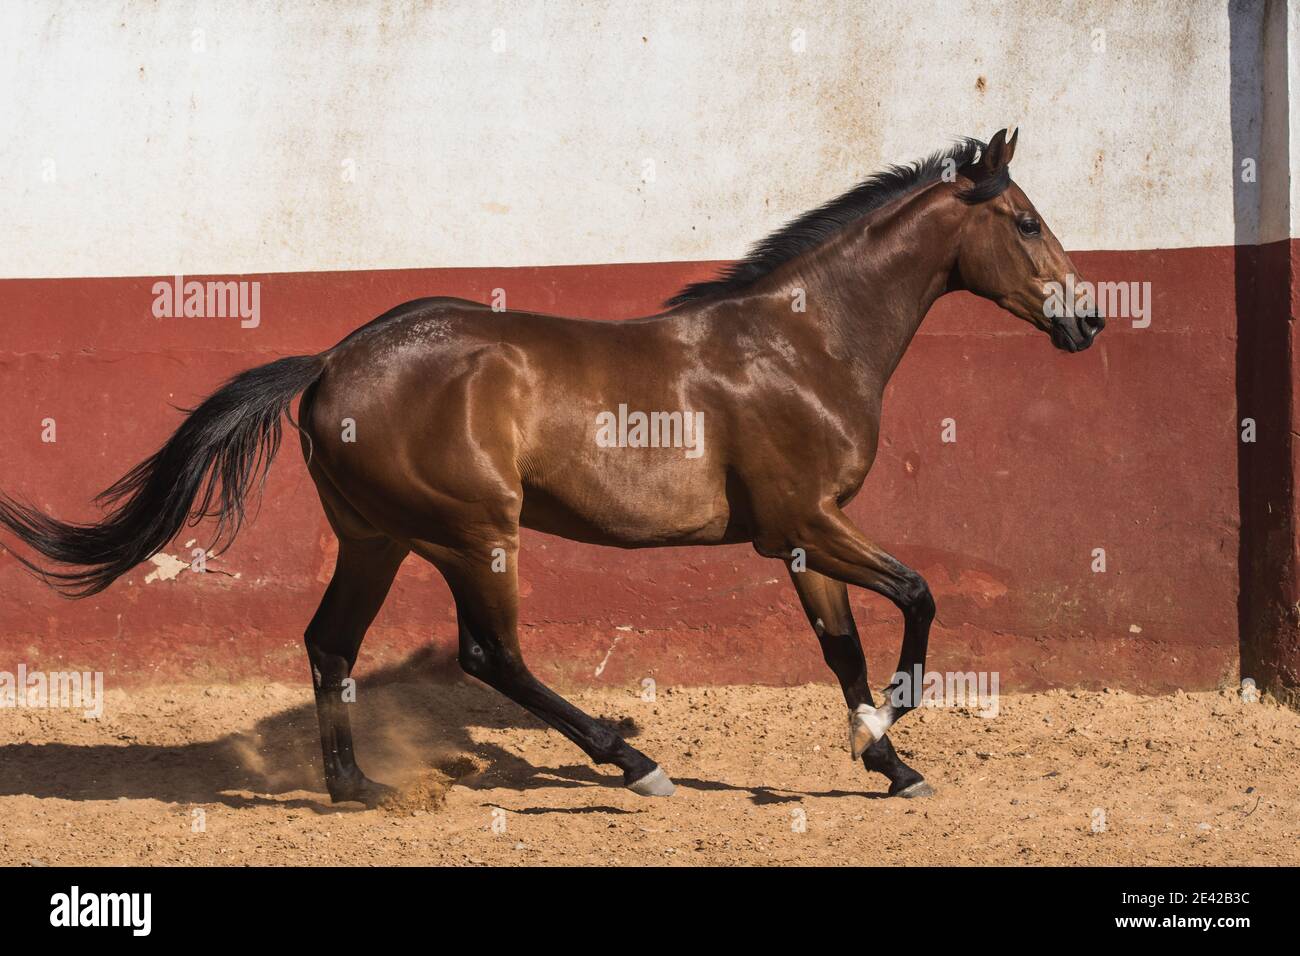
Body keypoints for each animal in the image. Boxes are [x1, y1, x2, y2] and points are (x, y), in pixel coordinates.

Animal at [0, 128, 1102, 804]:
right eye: (1025, 221)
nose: (1086, 320)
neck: (803, 343)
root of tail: (326, 366)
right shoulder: (803, 522)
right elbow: (915, 596)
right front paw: (892, 723)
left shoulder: (804, 537)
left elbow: (843, 651)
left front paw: (891, 761)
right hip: (474, 533)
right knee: (492, 656)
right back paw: (633, 762)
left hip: (380, 538)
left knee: (329, 642)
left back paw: (359, 788)